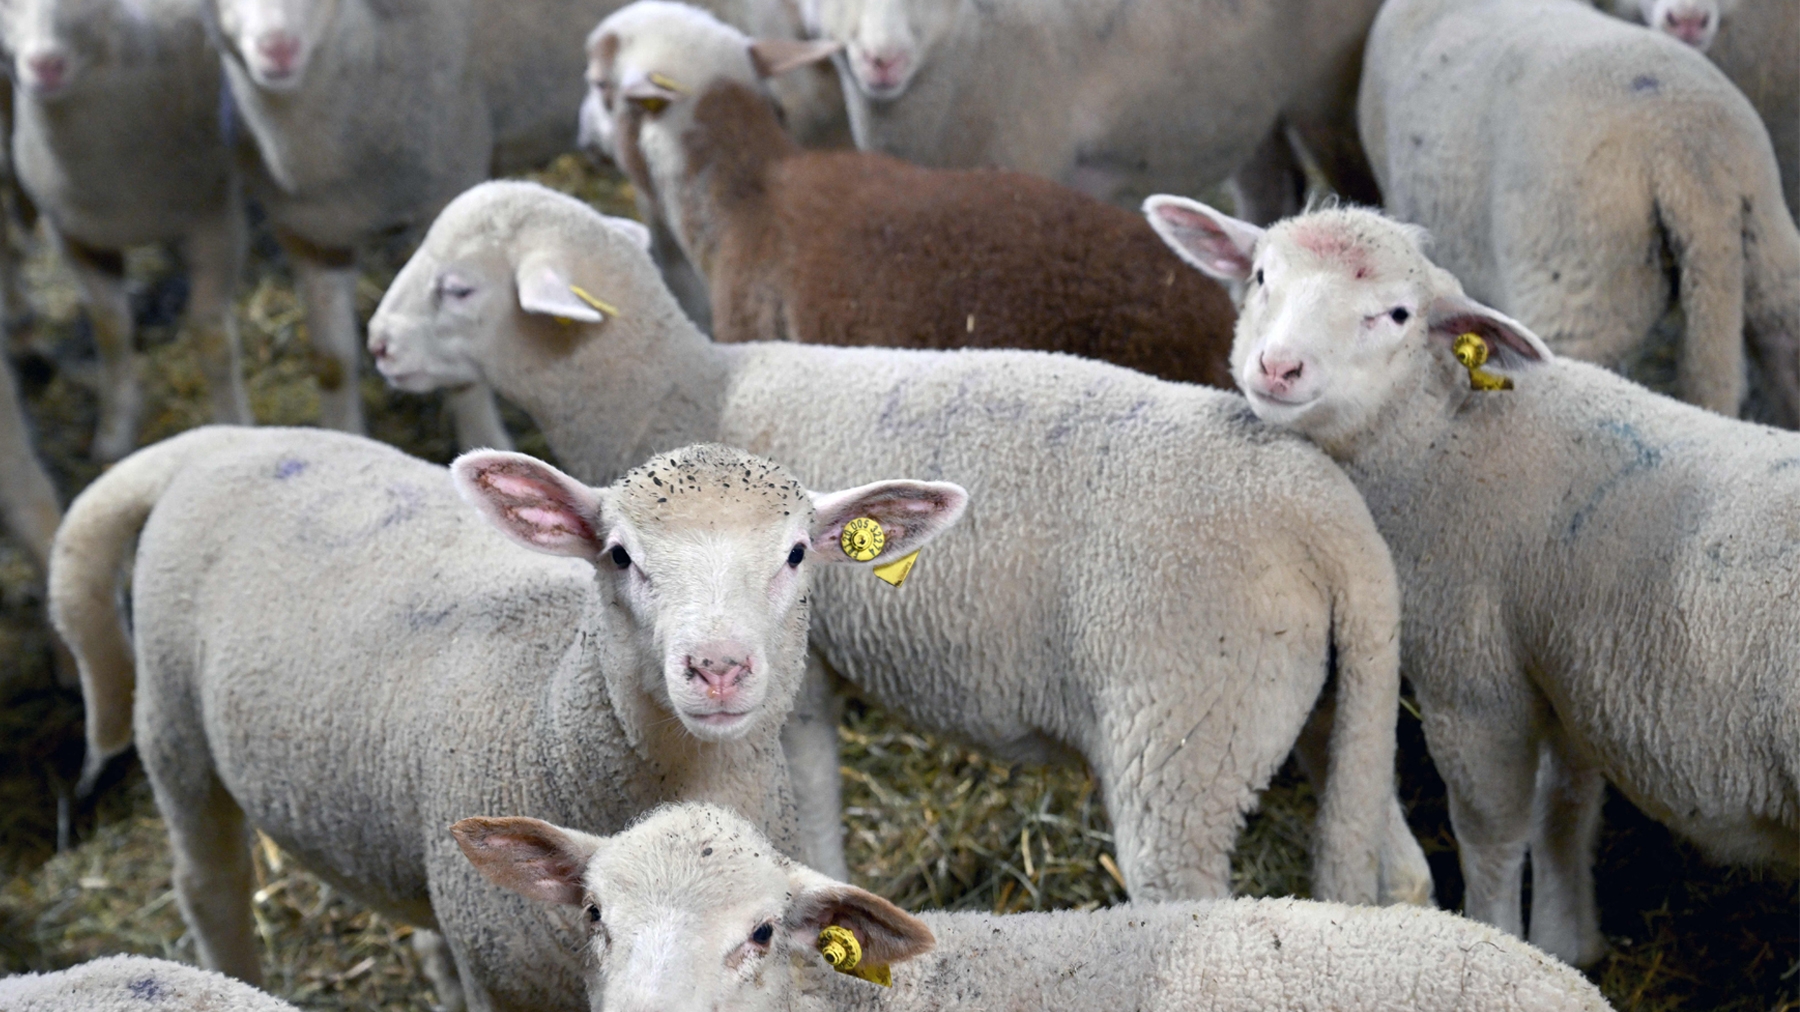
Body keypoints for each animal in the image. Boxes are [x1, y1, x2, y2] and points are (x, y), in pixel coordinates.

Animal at [3, 0, 250, 462]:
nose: (45, 65)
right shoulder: (76, 235)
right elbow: (111, 328)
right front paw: (114, 432)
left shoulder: (216, 220)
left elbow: (211, 334)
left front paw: (235, 422)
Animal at [49, 424, 964, 1012]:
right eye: (620, 556)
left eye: (797, 553)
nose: (717, 668)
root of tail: (220, 440)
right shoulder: (506, 984)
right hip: (173, 722)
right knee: (211, 887)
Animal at [365, 178, 1437, 910]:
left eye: (458, 290)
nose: (376, 344)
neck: (676, 390)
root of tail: (1337, 526)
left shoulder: (799, 677)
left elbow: (814, 813)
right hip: (1334, 710)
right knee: (1397, 868)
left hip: (1184, 731)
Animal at [1143, 195, 1800, 968]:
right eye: (1261, 275)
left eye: (1397, 314)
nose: (1277, 367)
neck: (1440, 438)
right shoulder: (1565, 667)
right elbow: (1565, 807)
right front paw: (1568, 941)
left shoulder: (1474, 682)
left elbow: (1492, 834)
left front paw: (1499, 934)